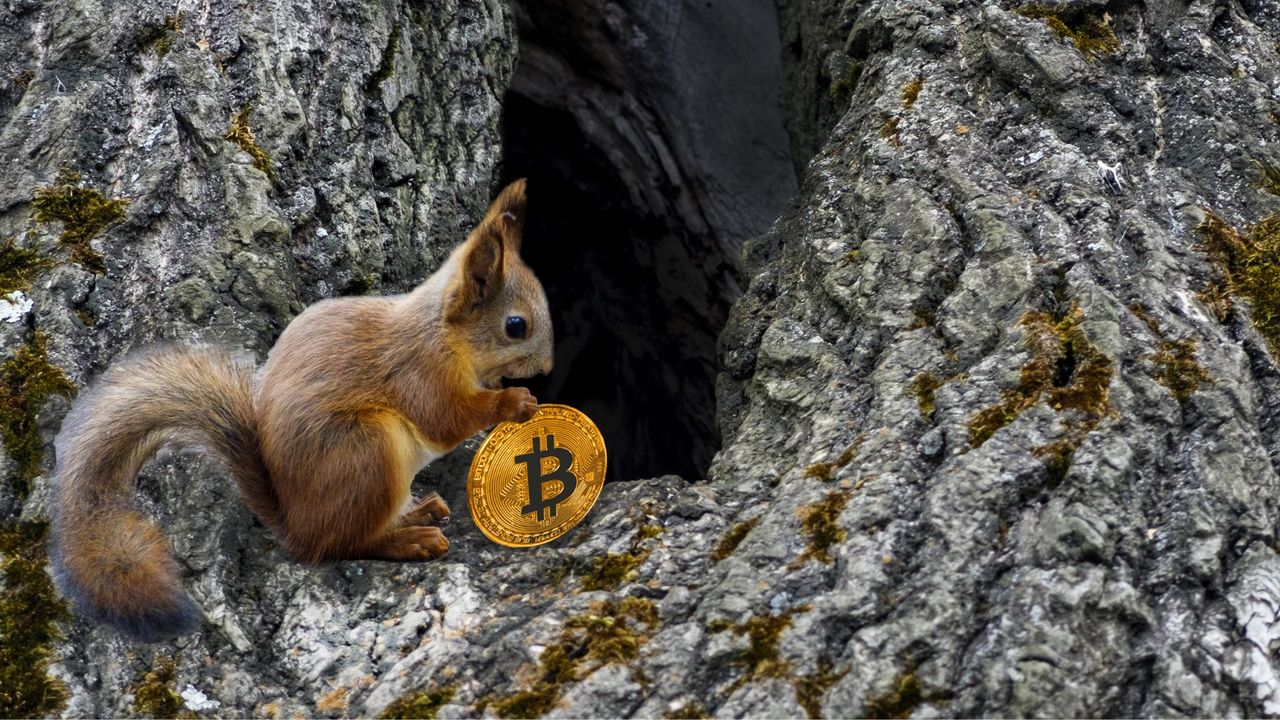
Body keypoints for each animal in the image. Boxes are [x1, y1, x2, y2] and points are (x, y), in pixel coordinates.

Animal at [48, 179, 552, 641]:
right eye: (516, 325)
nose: (546, 368)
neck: (445, 333)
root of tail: (296, 525)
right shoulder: (421, 372)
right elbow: (446, 420)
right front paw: (512, 402)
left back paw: (417, 512)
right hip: (365, 451)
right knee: (343, 544)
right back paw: (407, 539)